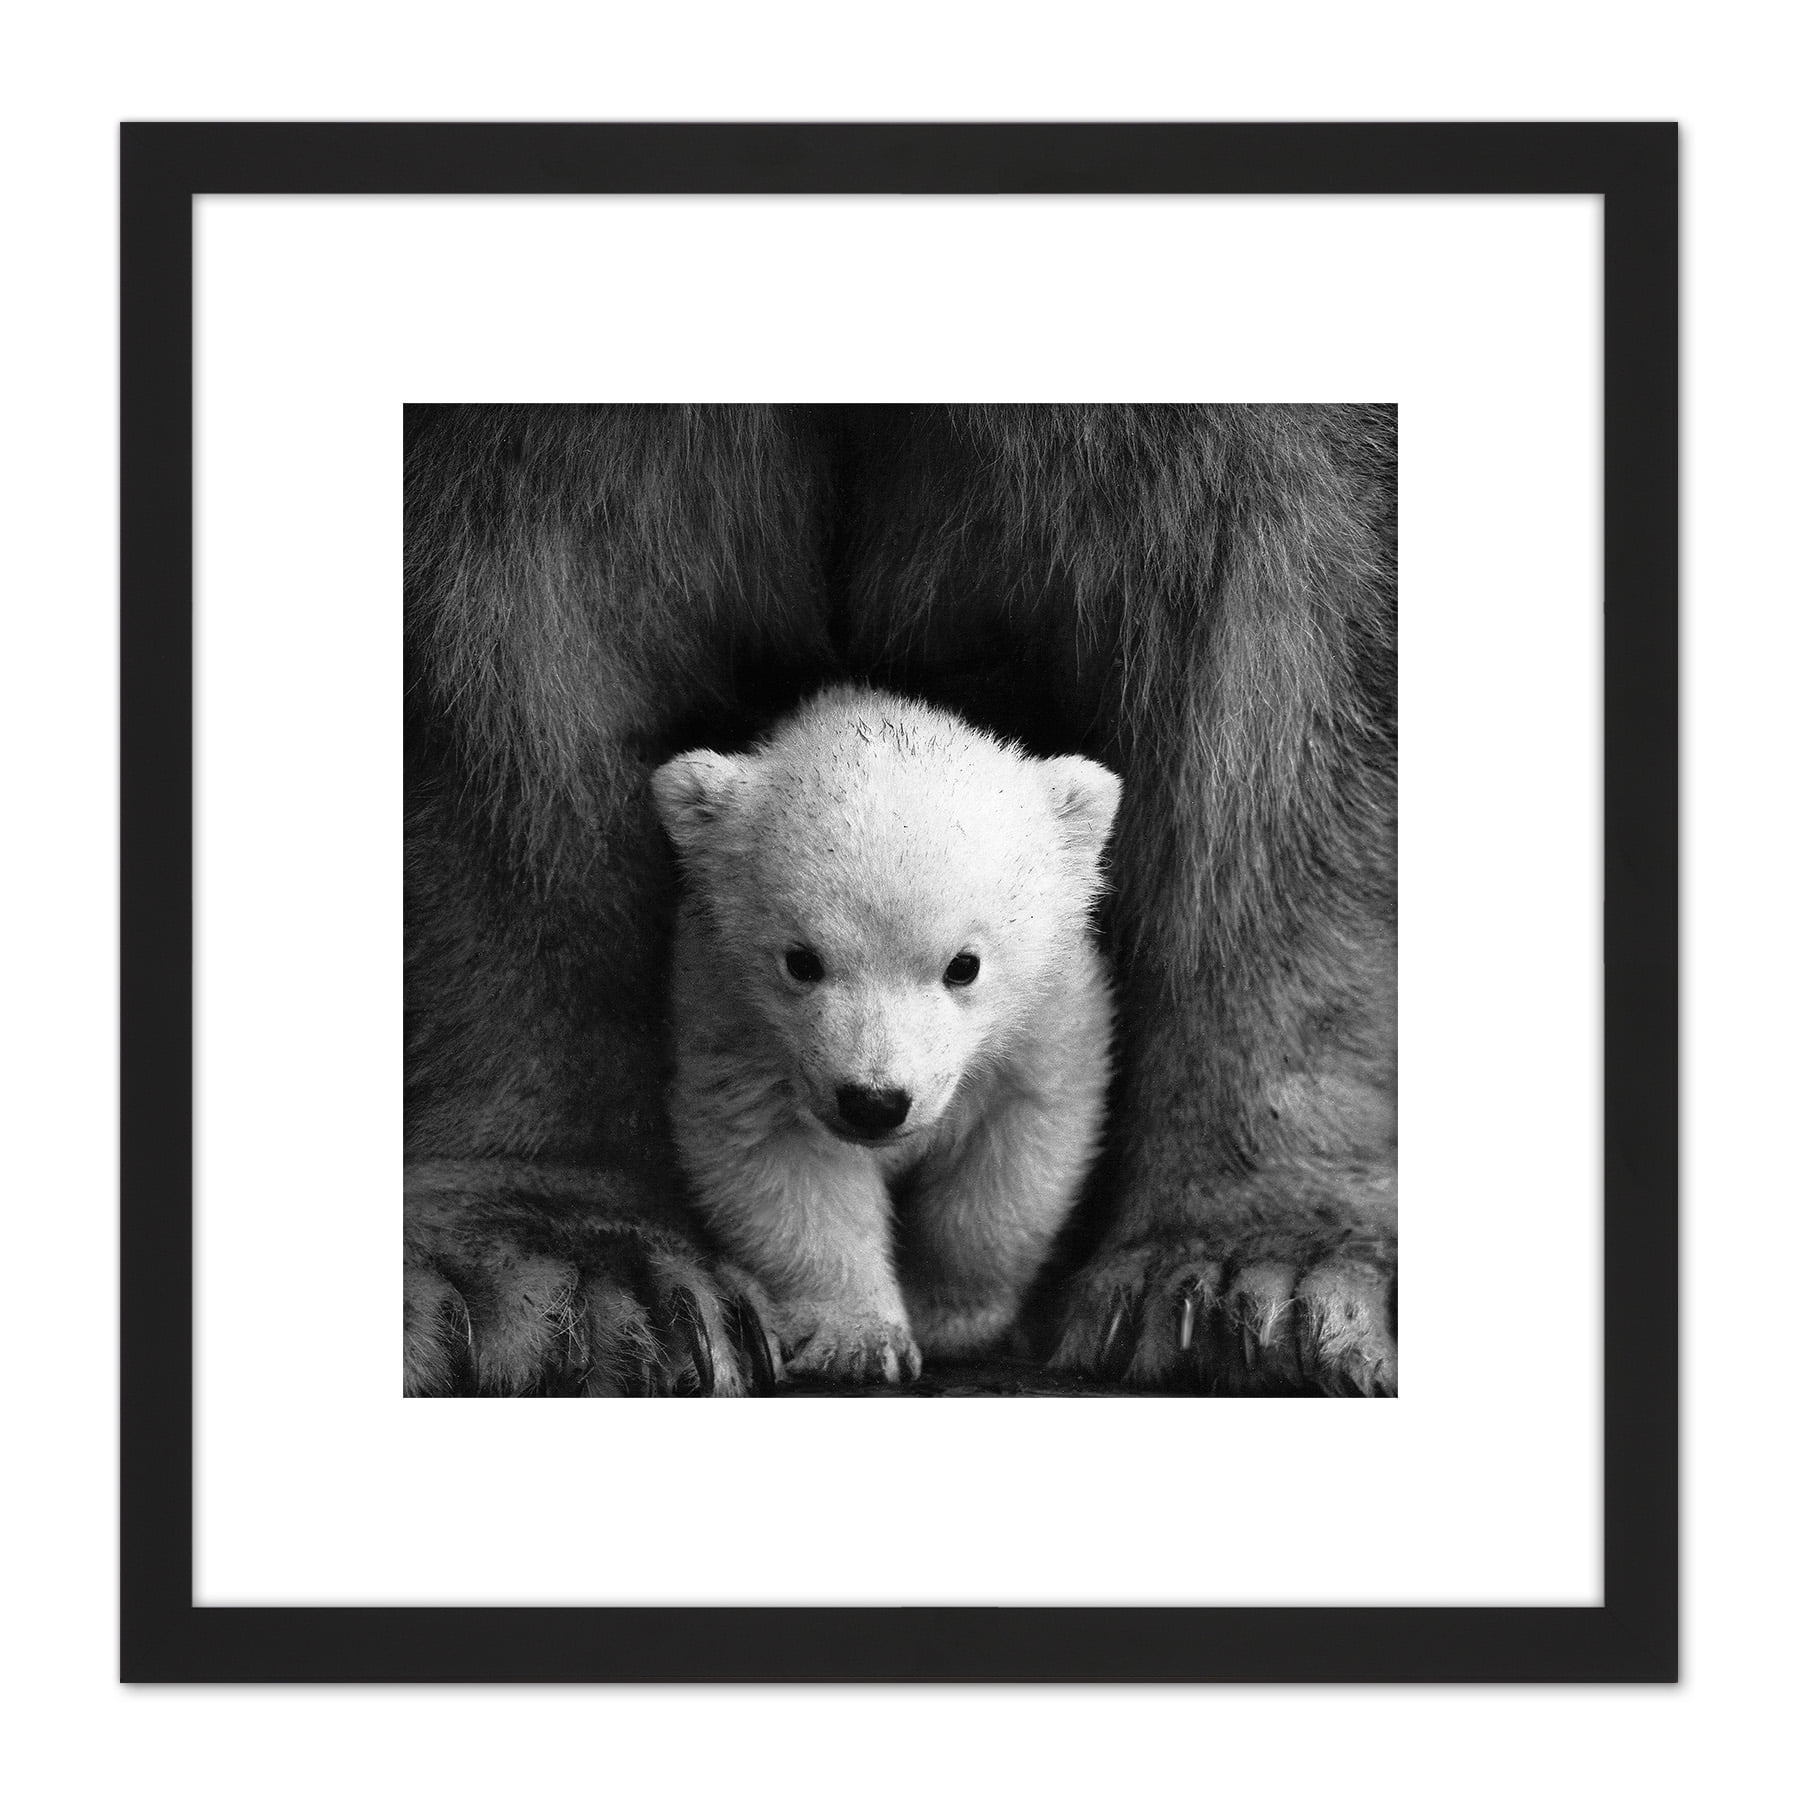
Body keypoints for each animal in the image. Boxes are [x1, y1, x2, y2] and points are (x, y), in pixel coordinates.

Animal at [651, 686, 1121, 1383]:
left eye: (964, 965)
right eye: (802, 960)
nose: (873, 1103)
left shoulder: (1047, 1021)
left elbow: (1012, 1160)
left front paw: (952, 1319)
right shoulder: (735, 1024)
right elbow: (783, 1164)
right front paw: (860, 1339)